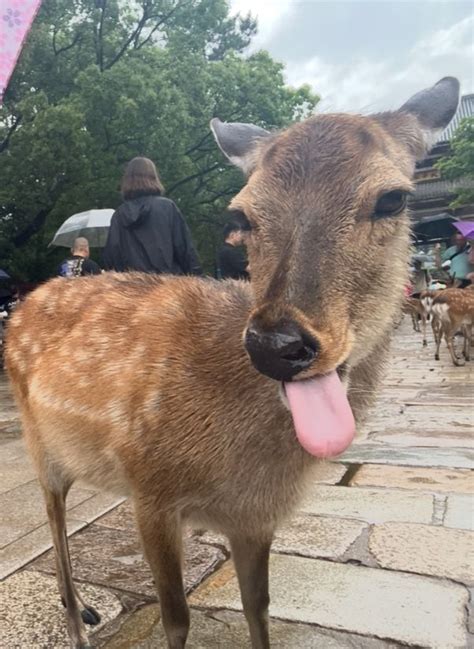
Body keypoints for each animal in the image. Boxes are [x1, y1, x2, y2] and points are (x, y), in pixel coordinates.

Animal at [5, 77, 459, 649]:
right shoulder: (149, 489)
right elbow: (177, 618)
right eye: (241, 215)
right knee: (54, 515)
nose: (277, 344)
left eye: (394, 198)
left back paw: (86, 611)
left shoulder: (255, 517)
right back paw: (77, 621)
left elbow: (258, 606)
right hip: (38, 442)